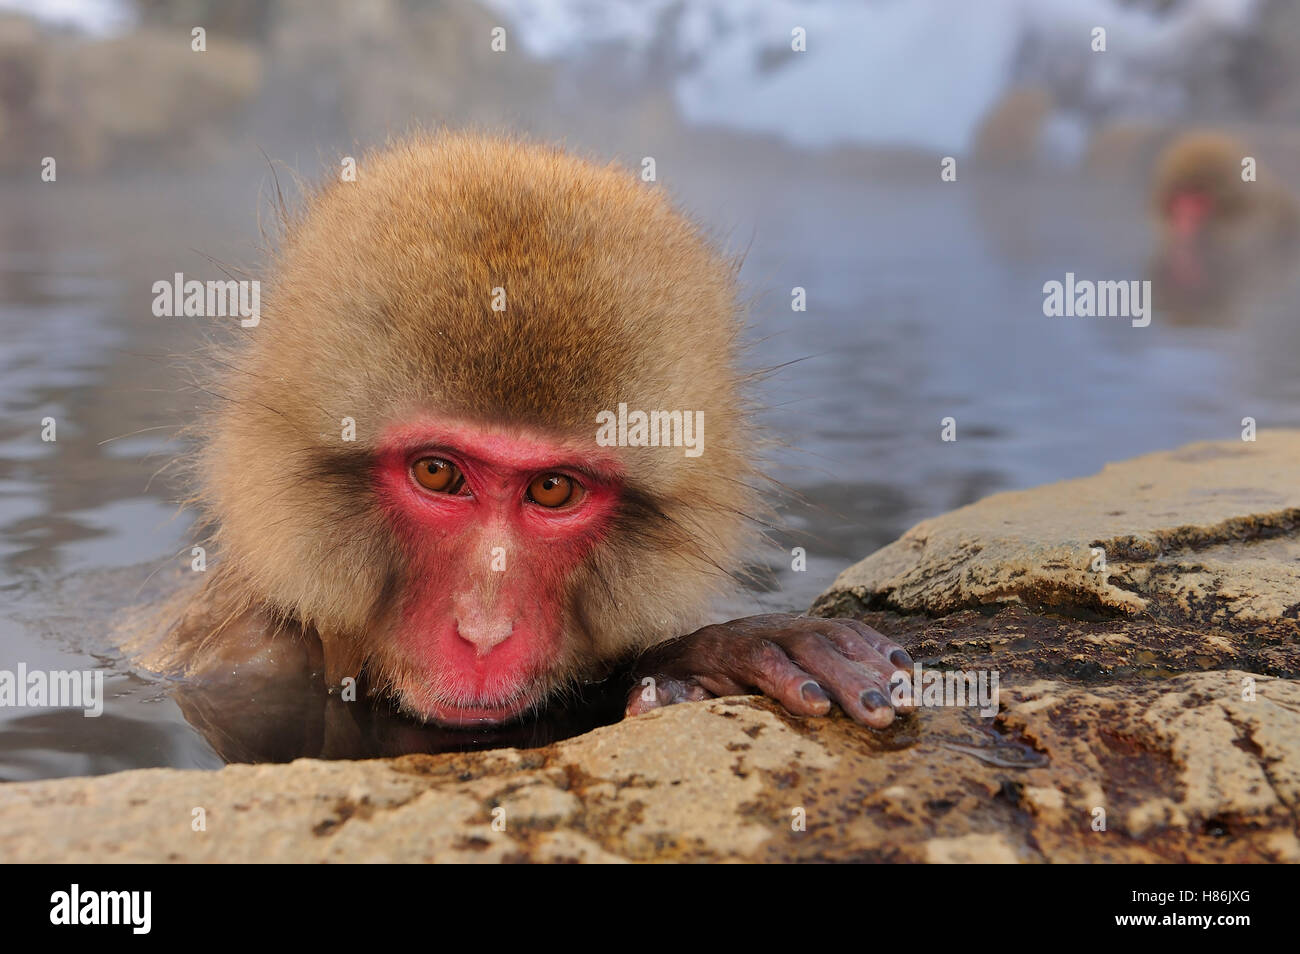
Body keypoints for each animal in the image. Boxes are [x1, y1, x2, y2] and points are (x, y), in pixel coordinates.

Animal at [135, 131, 913, 741]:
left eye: (553, 489)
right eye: (438, 472)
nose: (485, 633)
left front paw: (703, 658)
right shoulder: (245, 658)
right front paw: (695, 659)